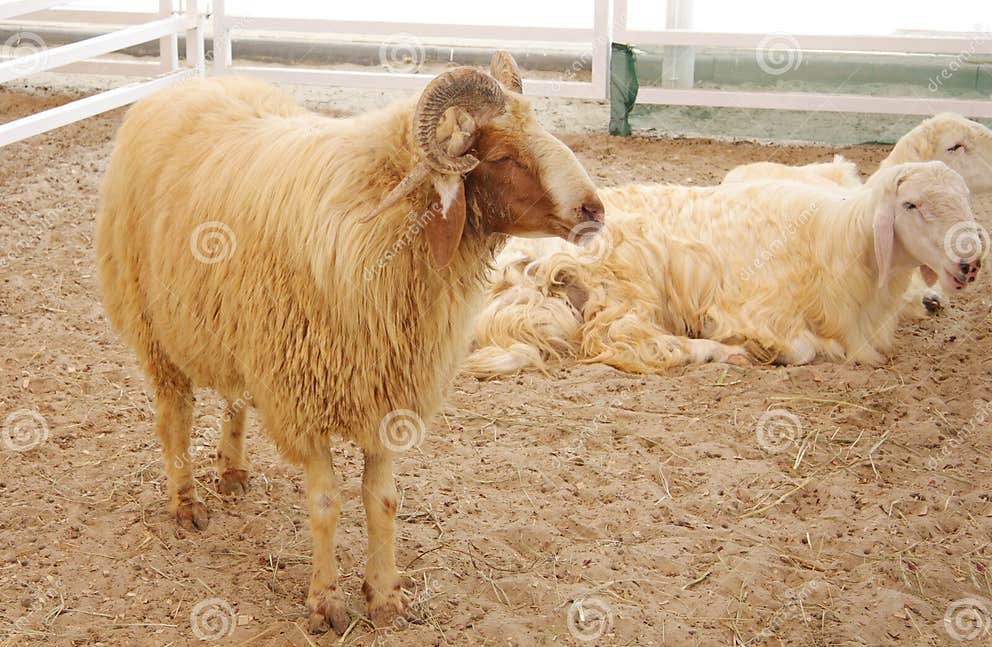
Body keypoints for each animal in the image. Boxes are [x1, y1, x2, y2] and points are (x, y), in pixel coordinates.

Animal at [95, 52, 604, 633]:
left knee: (233, 396)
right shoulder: (304, 397)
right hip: (156, 326)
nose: (594, 210)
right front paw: (325, 602)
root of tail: (183, 87)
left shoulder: (388, 390)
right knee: (174, 417)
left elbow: (381, 501)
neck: (379, 220)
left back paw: (232, 471)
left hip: (233, 325)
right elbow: (326, 504)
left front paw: (384, 598)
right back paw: (185, 502)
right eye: (500, 155)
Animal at [464, 161, 985, 377]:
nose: (969, 262)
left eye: (965, 198)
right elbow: (800, 349)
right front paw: (762, 349)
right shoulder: (755, 309)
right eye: (911, 205)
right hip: (629, 281)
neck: (837, 235)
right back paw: (723, 353)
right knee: (629, 342)